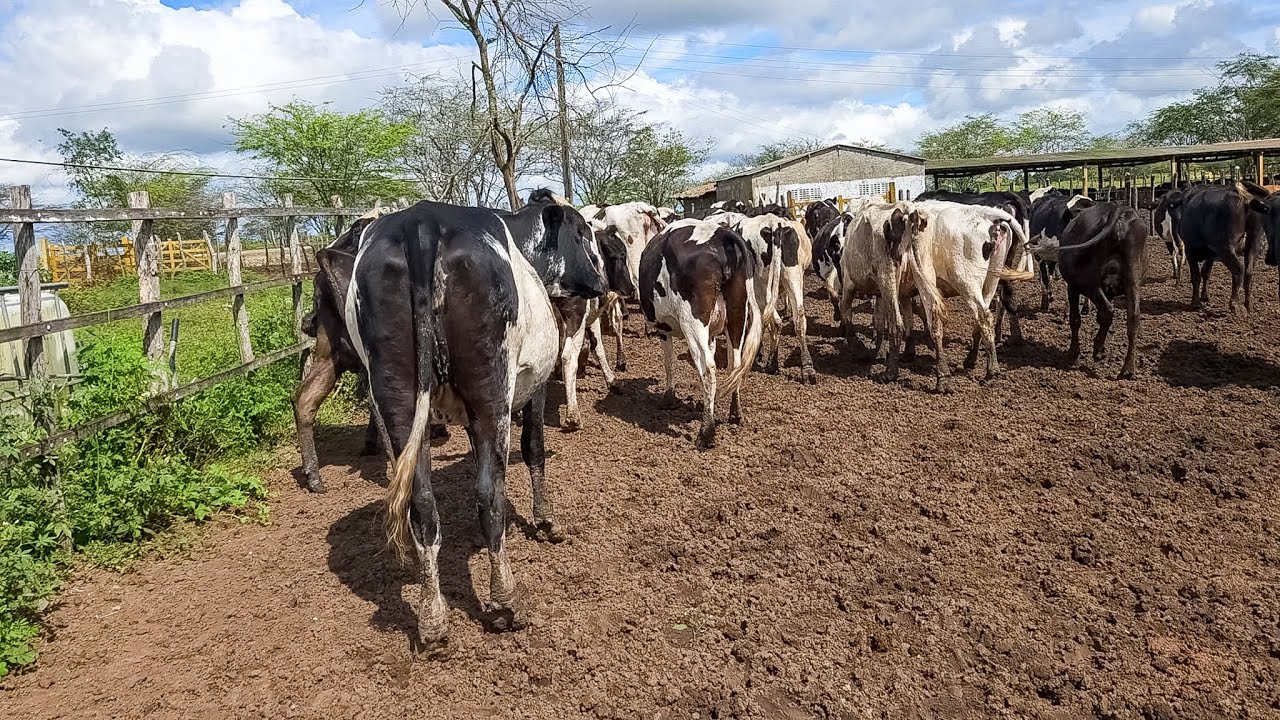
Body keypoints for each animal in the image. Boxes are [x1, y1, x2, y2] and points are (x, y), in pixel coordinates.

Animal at [346, 194, 603, 655]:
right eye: (580, 232)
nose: (600, 281)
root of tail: (422, 223)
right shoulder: (531, 386)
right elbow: (533, 449)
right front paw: (545, 521)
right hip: (491, 392)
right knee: (489, 494)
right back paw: (505, 600)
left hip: (398, 398)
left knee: (421, 504)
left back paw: (433, 621)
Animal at [639, 219, 764, 449]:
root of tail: (721, 235)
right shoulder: (712, 334)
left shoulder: (664, 329)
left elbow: (669, 362)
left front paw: (668, 399)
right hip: (737, 315)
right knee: (735, 364)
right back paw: (735, 414)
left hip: (693, 321)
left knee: (708, 369)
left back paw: (706, 432)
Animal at [737, 214, 817, 383]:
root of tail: (773, 223)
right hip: (793, 275)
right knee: (799, 319)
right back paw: (807, 370)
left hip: (760, 284)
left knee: (773, 321)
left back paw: (772, 364)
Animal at [1026, 200, 1147, 379]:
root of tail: (1117, 210)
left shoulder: (1073, 286)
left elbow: (1075, 319)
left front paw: (1073, 353)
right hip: (1133, 279)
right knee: (1133, 317)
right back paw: (1127, 368)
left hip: (1086, 283)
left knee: (1107, 310)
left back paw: (1097, 351)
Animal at [1171, 181, 1270, 315]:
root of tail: (1244, 198)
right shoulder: (1211, 255)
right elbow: (1206, 272)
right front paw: (1205, 296)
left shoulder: (1190, 251)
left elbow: (1196, 275)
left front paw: (1195, 302)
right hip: (1253, 242)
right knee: (1249, 272)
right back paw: (1248, 306)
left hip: (1226, 248)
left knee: (1238, 269)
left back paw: (1235, 304)